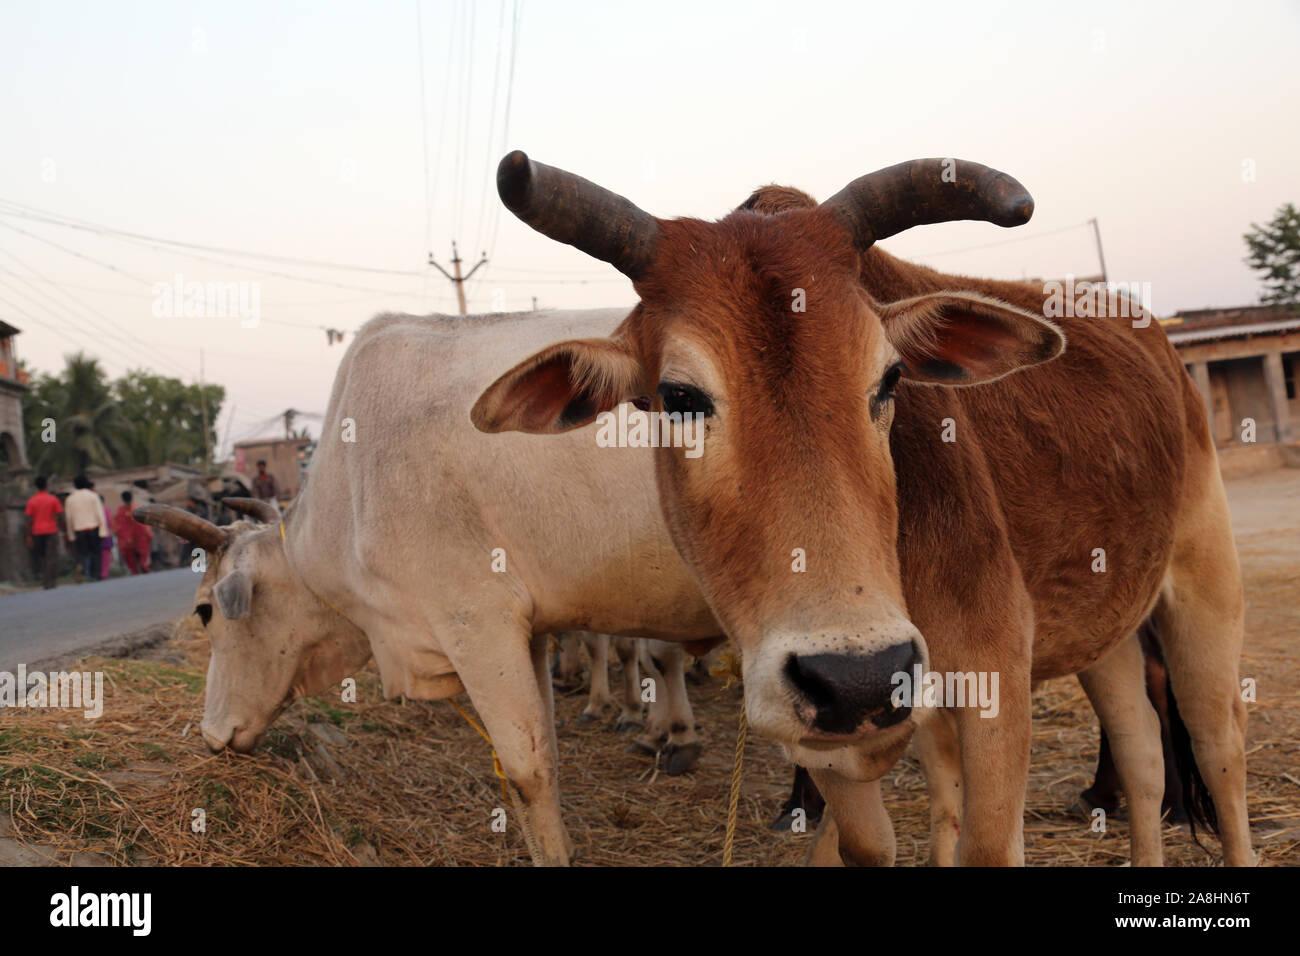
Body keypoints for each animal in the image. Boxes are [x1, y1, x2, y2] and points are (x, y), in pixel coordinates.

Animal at [471, 151, 1254, 867]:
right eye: (680, 397)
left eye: (890, 378)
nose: (860, 676)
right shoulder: (819, 716)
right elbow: (869, 841)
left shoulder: (995, 674)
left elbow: (986, 844)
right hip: (1107, 630)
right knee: (1141, 753)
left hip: (1205, 586)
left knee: (1220, 751)